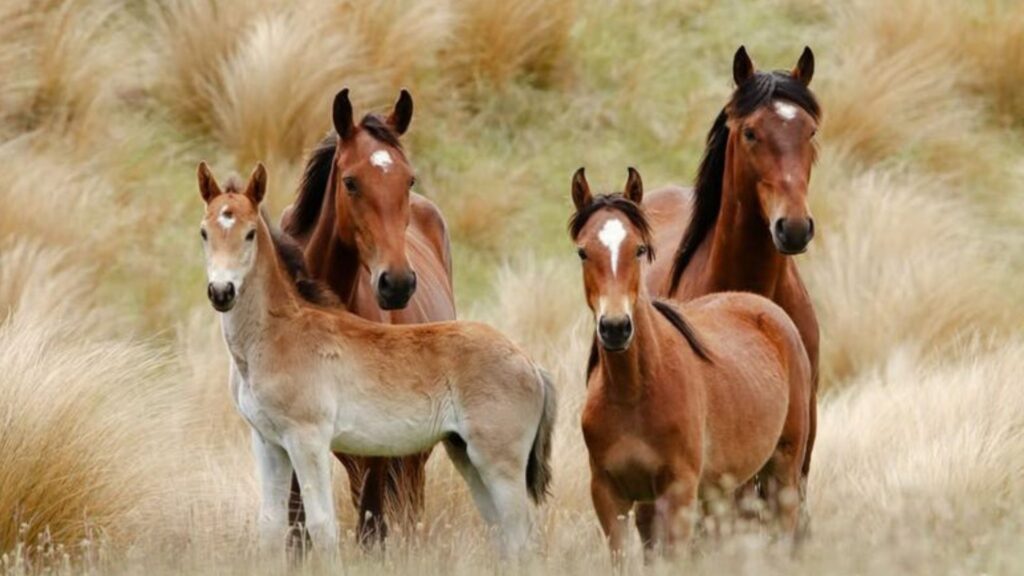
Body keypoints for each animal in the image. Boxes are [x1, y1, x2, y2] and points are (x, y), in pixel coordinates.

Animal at [197, 162, 555, 558]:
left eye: (249, 234)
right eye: (204, 233)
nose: (222, 292)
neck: (277, 333)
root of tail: (530, 364)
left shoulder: (307, 439)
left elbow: (322, 526)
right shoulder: (268, 443)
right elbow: (272, 527)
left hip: (499, 462)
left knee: (520, 534)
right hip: (466, 454)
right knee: (502, 532)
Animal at [570, 167, 810, 558]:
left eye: (639, 249)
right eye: (582, 252)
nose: (616, 328)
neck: (632, 392)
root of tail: (766, 308)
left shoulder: (678, 490)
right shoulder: (609, 496)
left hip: (784, 467)